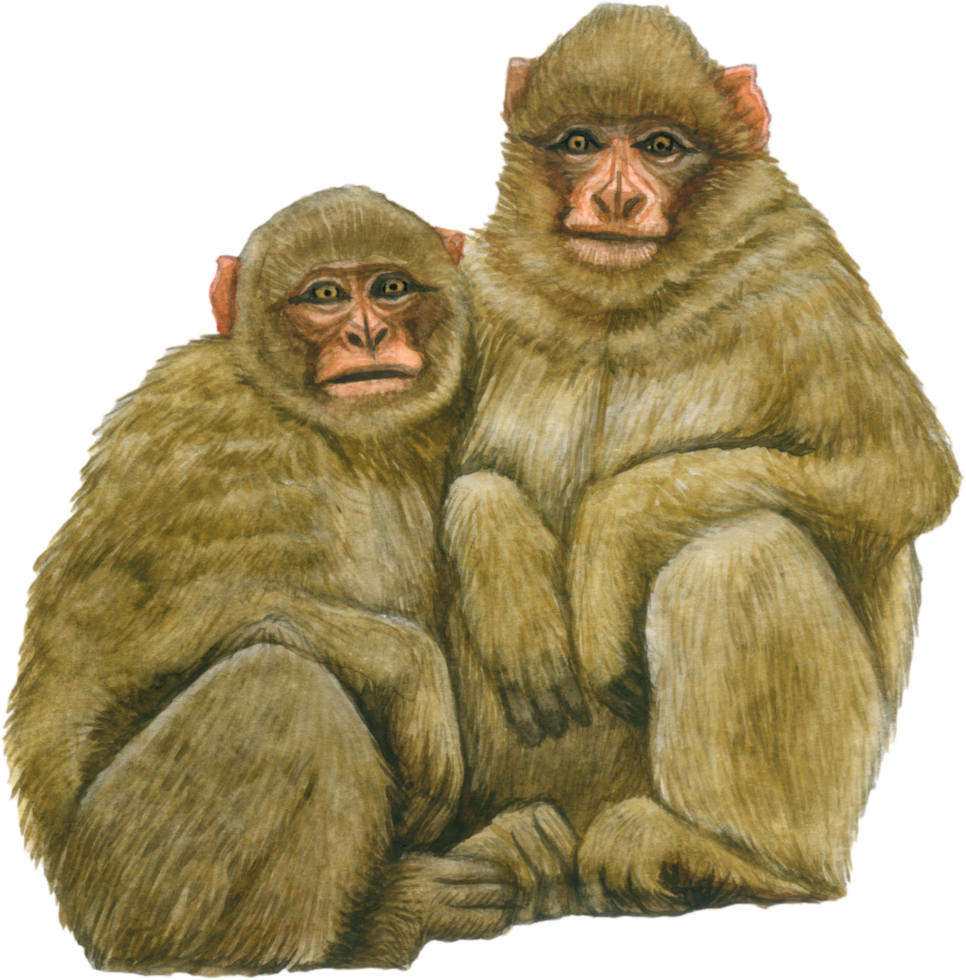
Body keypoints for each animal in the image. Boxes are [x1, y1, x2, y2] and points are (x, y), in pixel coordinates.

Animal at [1, 182, 562, 976]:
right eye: (324, 296)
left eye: (390, 288)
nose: (365, 335)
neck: (341, 436)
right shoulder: (181, 422)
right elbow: (122, 644)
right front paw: (410, 669)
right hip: (122, 893)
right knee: (281, 686)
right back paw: (357, 930)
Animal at [440, 0, 963, 917]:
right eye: (581, 141)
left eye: (660, 146)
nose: (616, 196)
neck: (618, 308)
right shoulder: (484, 291)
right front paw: (496, 538)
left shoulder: (808, 283)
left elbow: (900, 474)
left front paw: (611, 532)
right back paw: (506, 836)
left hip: (828, 801)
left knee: (738, 551)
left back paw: (730, 857)